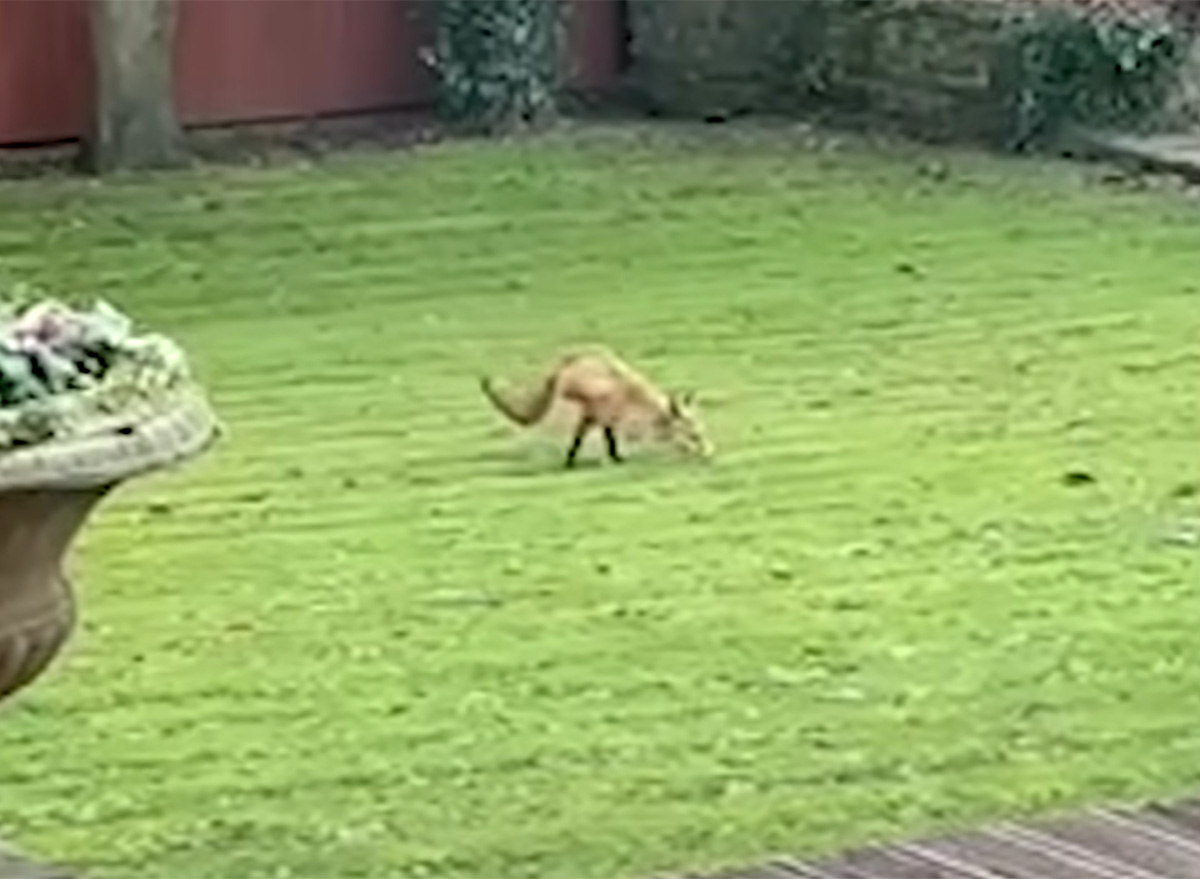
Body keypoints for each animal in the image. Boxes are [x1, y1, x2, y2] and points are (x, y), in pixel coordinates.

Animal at [480, 345, 713, 468]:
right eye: (694, 436)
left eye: (701, 433)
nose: (709, 454)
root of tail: (564, 362)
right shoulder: (600, 410)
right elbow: (600, 436)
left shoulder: (607, 414)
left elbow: (609, 437)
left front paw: (616, 457)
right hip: (581, 401)